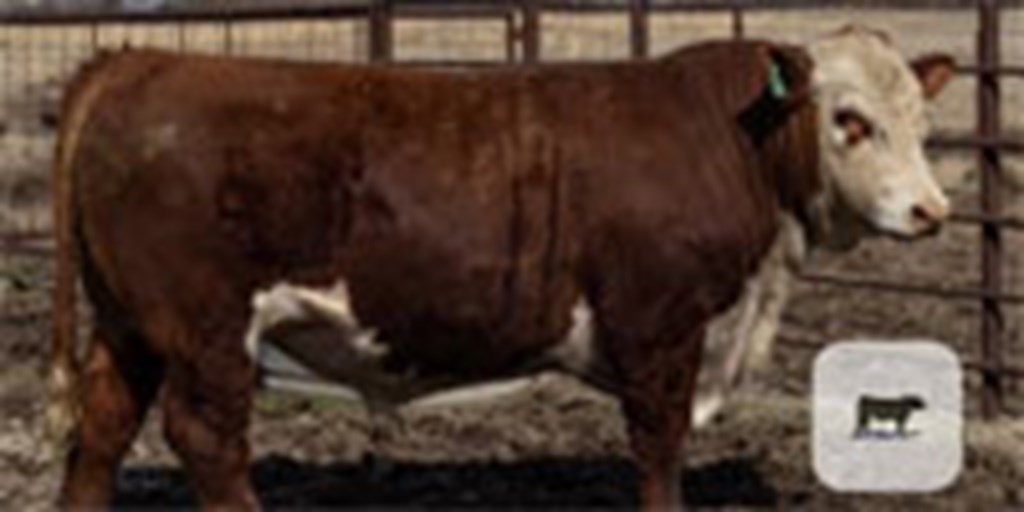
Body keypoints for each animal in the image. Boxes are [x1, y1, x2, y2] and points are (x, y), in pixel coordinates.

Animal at [48, 28, 953, 509]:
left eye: (920, 118)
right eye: (849, 119)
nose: (931, 211)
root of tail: (141, 59)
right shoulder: (659, 325)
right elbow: (658, 448)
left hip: (131, 325)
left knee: (103, 427)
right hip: (204, 328)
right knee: (208, 438)